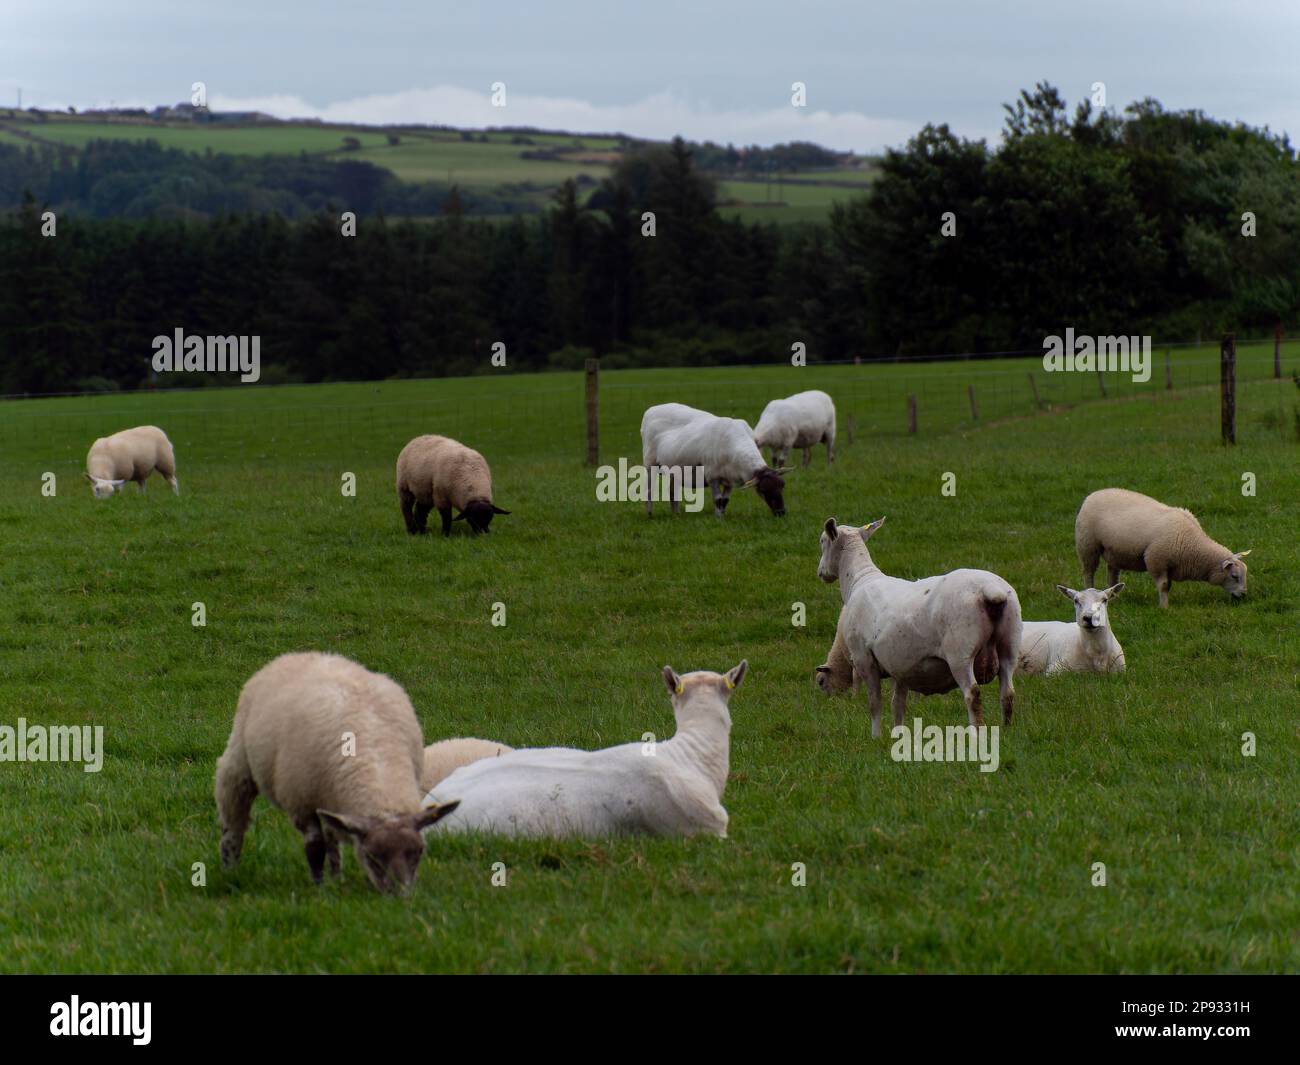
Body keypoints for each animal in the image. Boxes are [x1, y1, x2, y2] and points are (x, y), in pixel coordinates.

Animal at [215, 652, 460, 893]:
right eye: (372, 856)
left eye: (419, 851)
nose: (401, 895)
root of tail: (302, 654)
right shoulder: (301, 803)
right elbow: (315, 846)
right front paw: (319, 889)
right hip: (239, 763)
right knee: (234, 819)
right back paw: (230, 869)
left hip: (329, 796)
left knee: (332, 837)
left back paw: (336, 878)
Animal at [640, 402, 791, 517]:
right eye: (763, 490)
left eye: (782, 486)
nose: (781, 513)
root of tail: (651, 409)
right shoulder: (712, 476)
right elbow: (718, 500)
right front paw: (719, 518)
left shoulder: (731, 477)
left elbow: (725, 500)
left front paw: (722, 515)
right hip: (650, 464)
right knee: (649, 491)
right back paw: (649, 514)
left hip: (674, 468)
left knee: (673, 493)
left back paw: (676, 515)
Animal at [817, 517, 1021, 736]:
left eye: (822, 540)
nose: (820, 572)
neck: (860, 579)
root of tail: (991, 590)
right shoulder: (900, 667)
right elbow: (897, 704)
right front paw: (897, 735)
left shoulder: (864, 658)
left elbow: (875, 703)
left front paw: (875, 737)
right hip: (1009, 646)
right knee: (1008, 693)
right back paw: (1006, 731)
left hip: (960, 653)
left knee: (972, 694)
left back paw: (977, 733)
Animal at [1075, 488, 1251, 607]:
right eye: (1234, 576)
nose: (1243, 596)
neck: (1192, 544)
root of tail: (1092, 495)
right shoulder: (1156, 560)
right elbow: (1164, 586)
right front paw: (1164, 607)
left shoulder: (1169, 565)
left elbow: (1168, 586)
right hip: (1087, 545)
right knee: (1088, 572)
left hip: (1114, 551)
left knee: (1113, 573)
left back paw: (1115, 599)